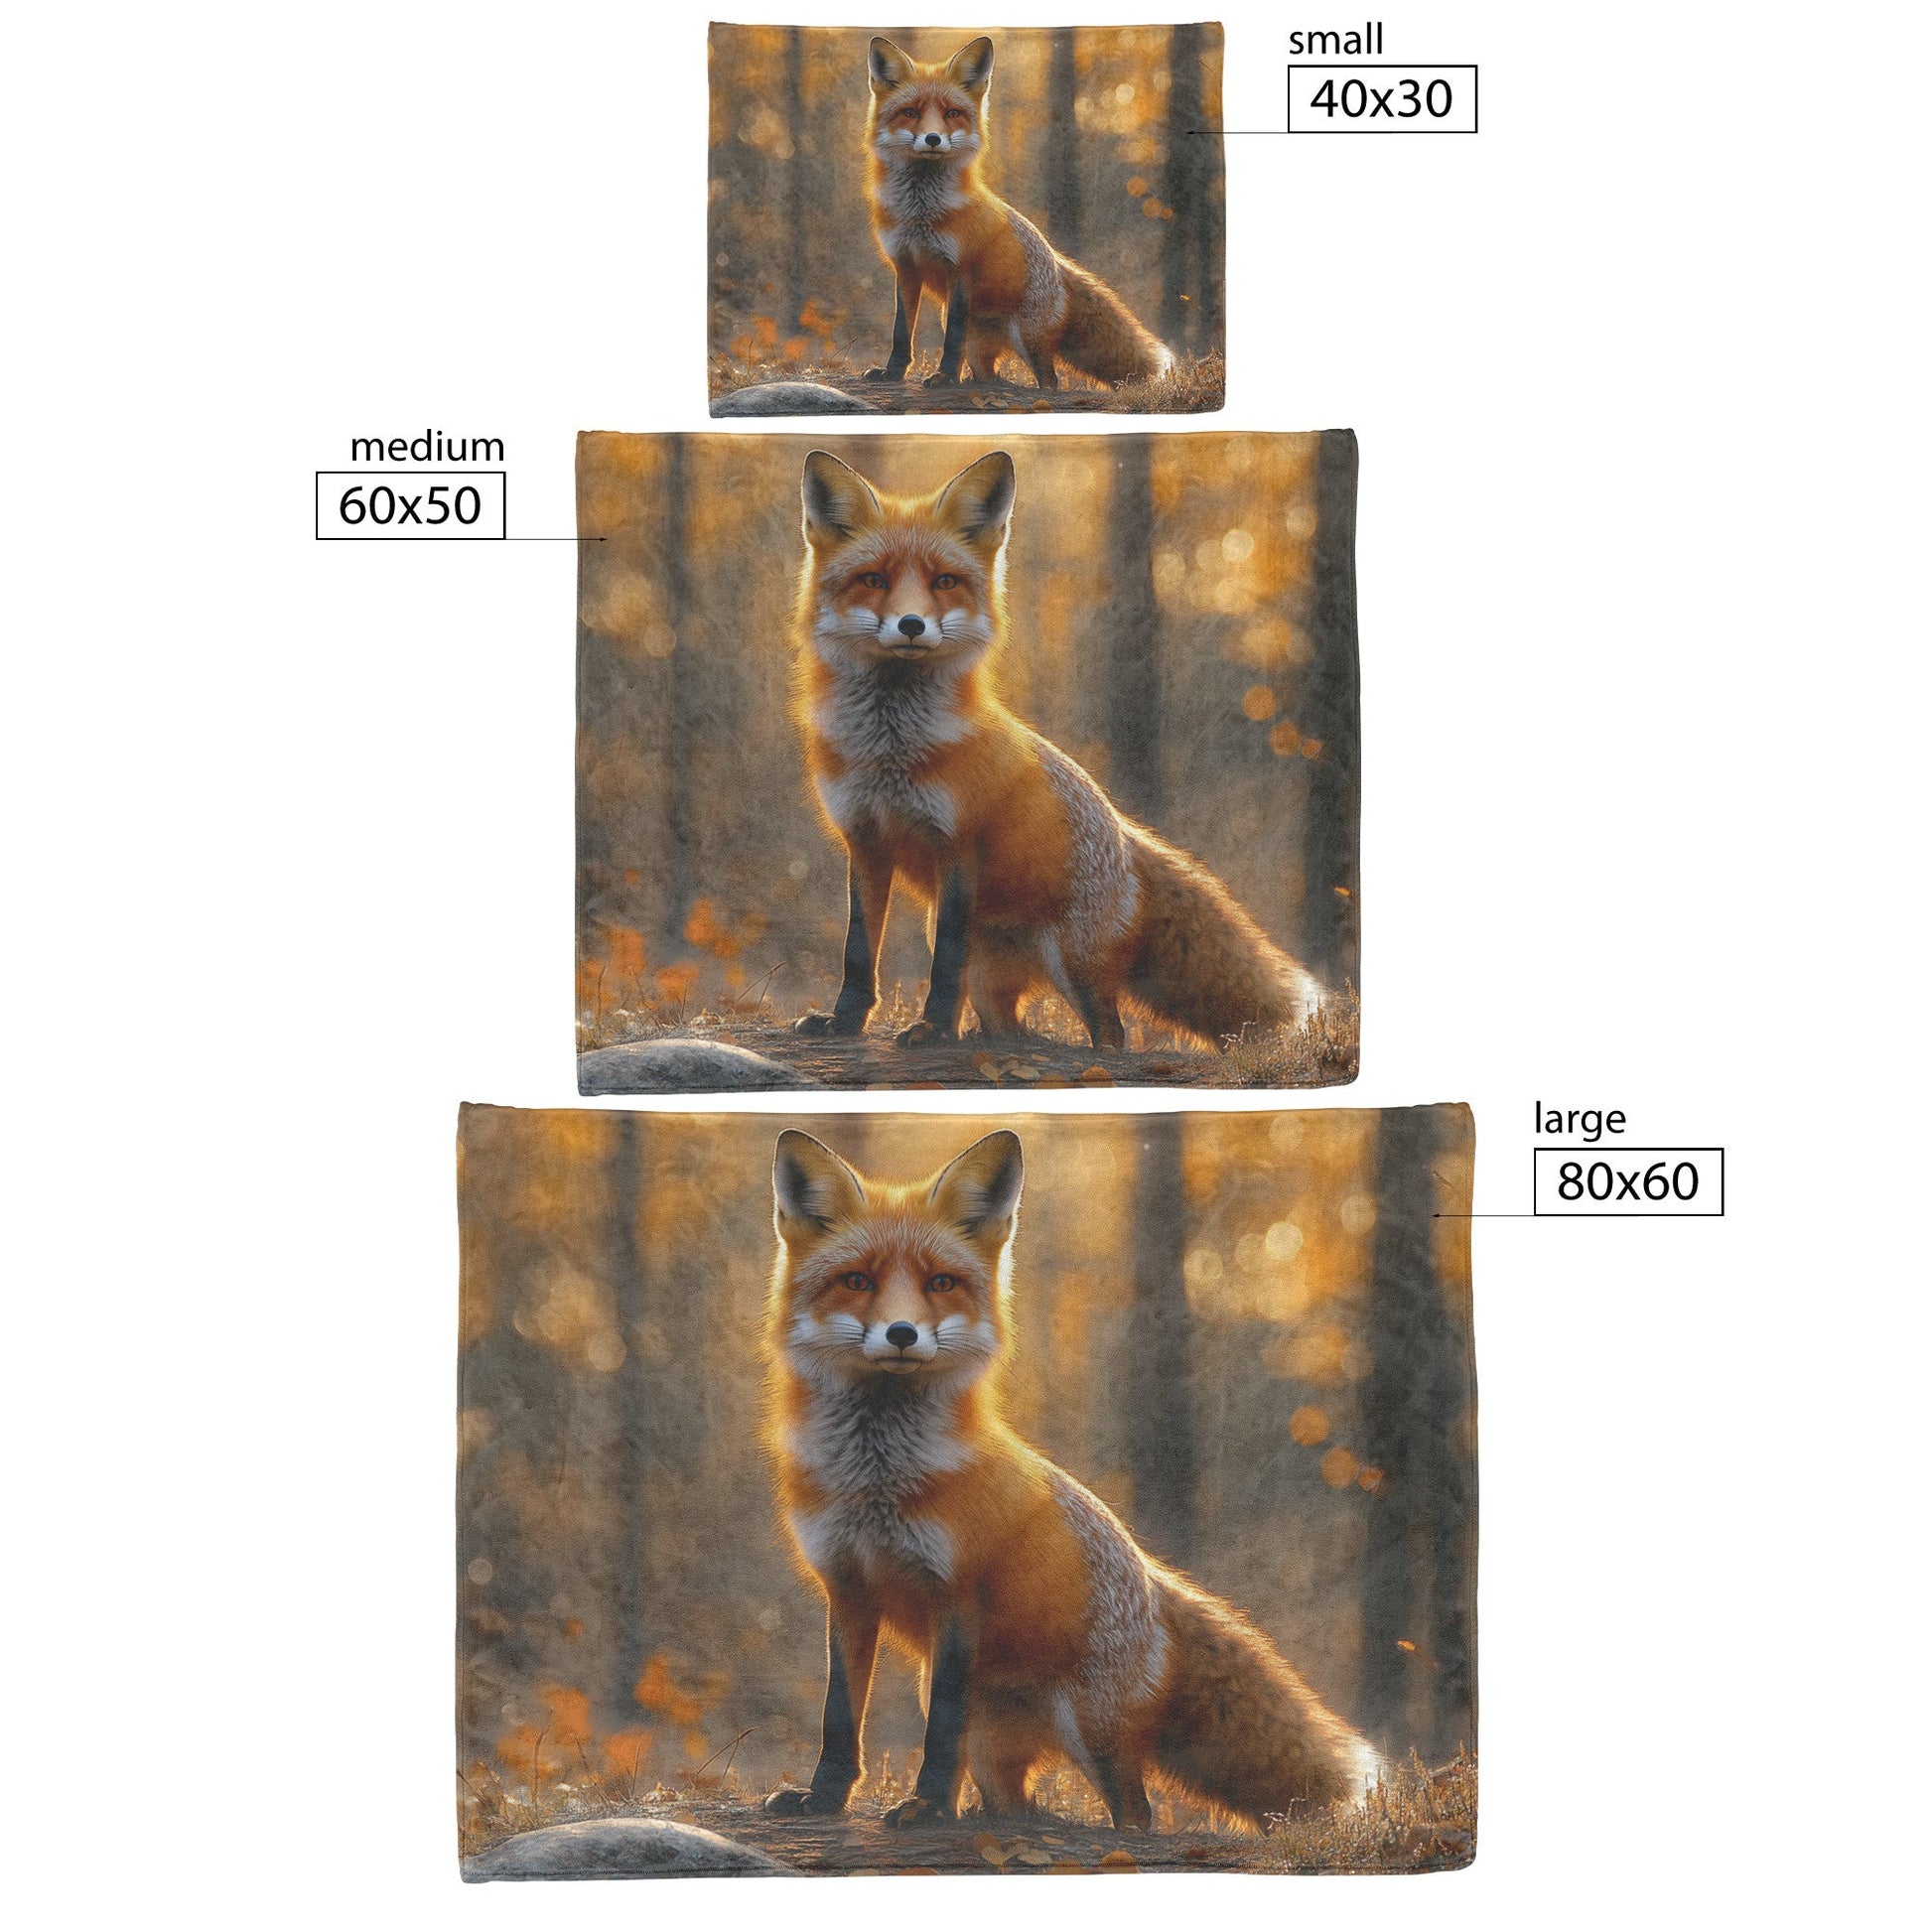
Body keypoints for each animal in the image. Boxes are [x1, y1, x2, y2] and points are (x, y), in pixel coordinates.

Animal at [761, 1129, 1381, 1830]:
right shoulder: (848, 1588)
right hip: (992, 1742)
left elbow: (940, 1730)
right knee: (1012, 1799)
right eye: (856, 1281)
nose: (901, 1333)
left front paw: (925, 1807)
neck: (877, 1480)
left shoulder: (959, 1594)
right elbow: (840, 1716)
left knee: (1137, 1816)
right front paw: (824, 1799)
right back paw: (986, 1823)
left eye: (941, 1282)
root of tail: (1152, 1582)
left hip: (1093, 1734)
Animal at [791, 447, 1323, 1052]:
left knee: (1112, 1036)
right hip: (991, 977)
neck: (890, 750)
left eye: (945, 580)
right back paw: (988, 1044)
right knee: (1007, 1023)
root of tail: (1126, 837)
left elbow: (945, 961)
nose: (910, 624)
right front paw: (845, 1022)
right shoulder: (866, 841)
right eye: (872, 579)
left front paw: (932, 1029)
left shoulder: (960, 845)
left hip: (1074, 966)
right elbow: (858, 951)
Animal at [862, 35, 1173, 392]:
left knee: (1050, 382)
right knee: (988, 374)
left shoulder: (961, 270)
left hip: (1029, 340)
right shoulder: (906, 267)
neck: (920, 213)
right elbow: (901, 331)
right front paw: (893, 372)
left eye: (953, 113)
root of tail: (1057, 264)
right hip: (979, 347)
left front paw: (945, 377)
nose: (932, 138)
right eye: (910, 112)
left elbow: (952, 337)